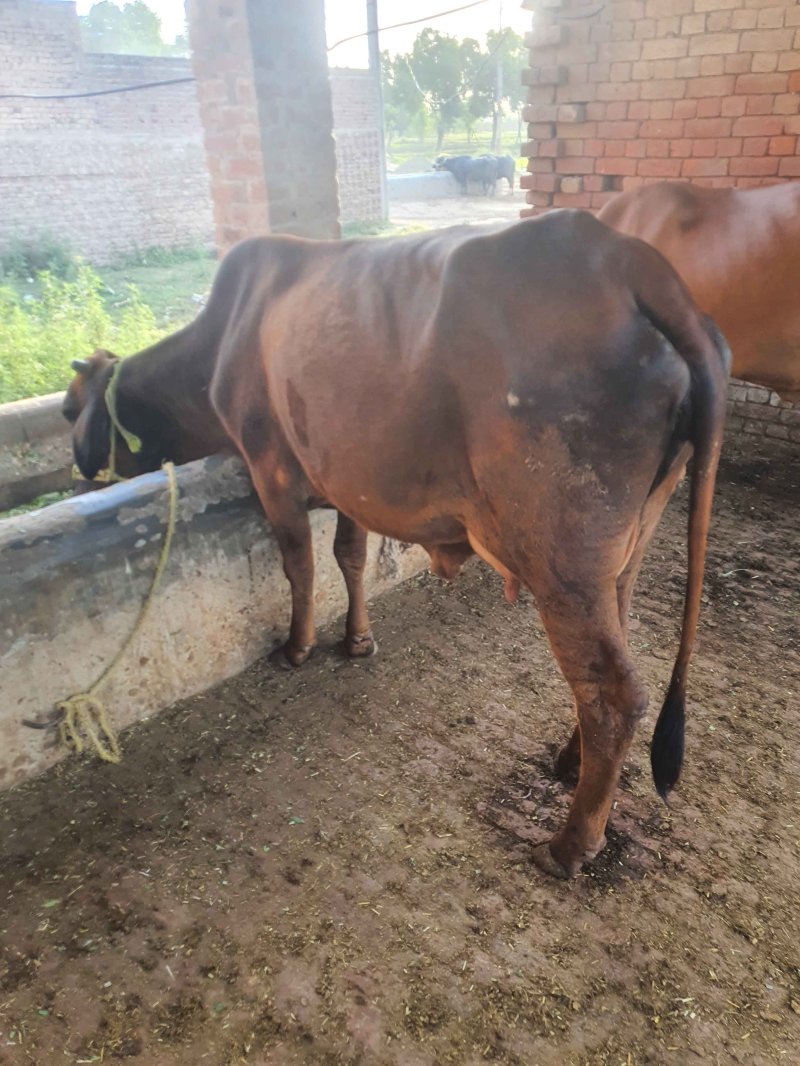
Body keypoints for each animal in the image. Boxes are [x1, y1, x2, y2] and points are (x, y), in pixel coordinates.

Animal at [68, 212, 730, 879]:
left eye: (71, 408)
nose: (80, 479)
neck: (222, 339)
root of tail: (630, 262)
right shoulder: (347, 481)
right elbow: (350, 557)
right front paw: (357, 638)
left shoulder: (270, 470)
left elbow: (299, 565)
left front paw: (297, 645)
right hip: (621, 556)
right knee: (607, 667)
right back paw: (571, 763)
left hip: (563, 565)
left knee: (614, 695)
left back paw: (570, 843)